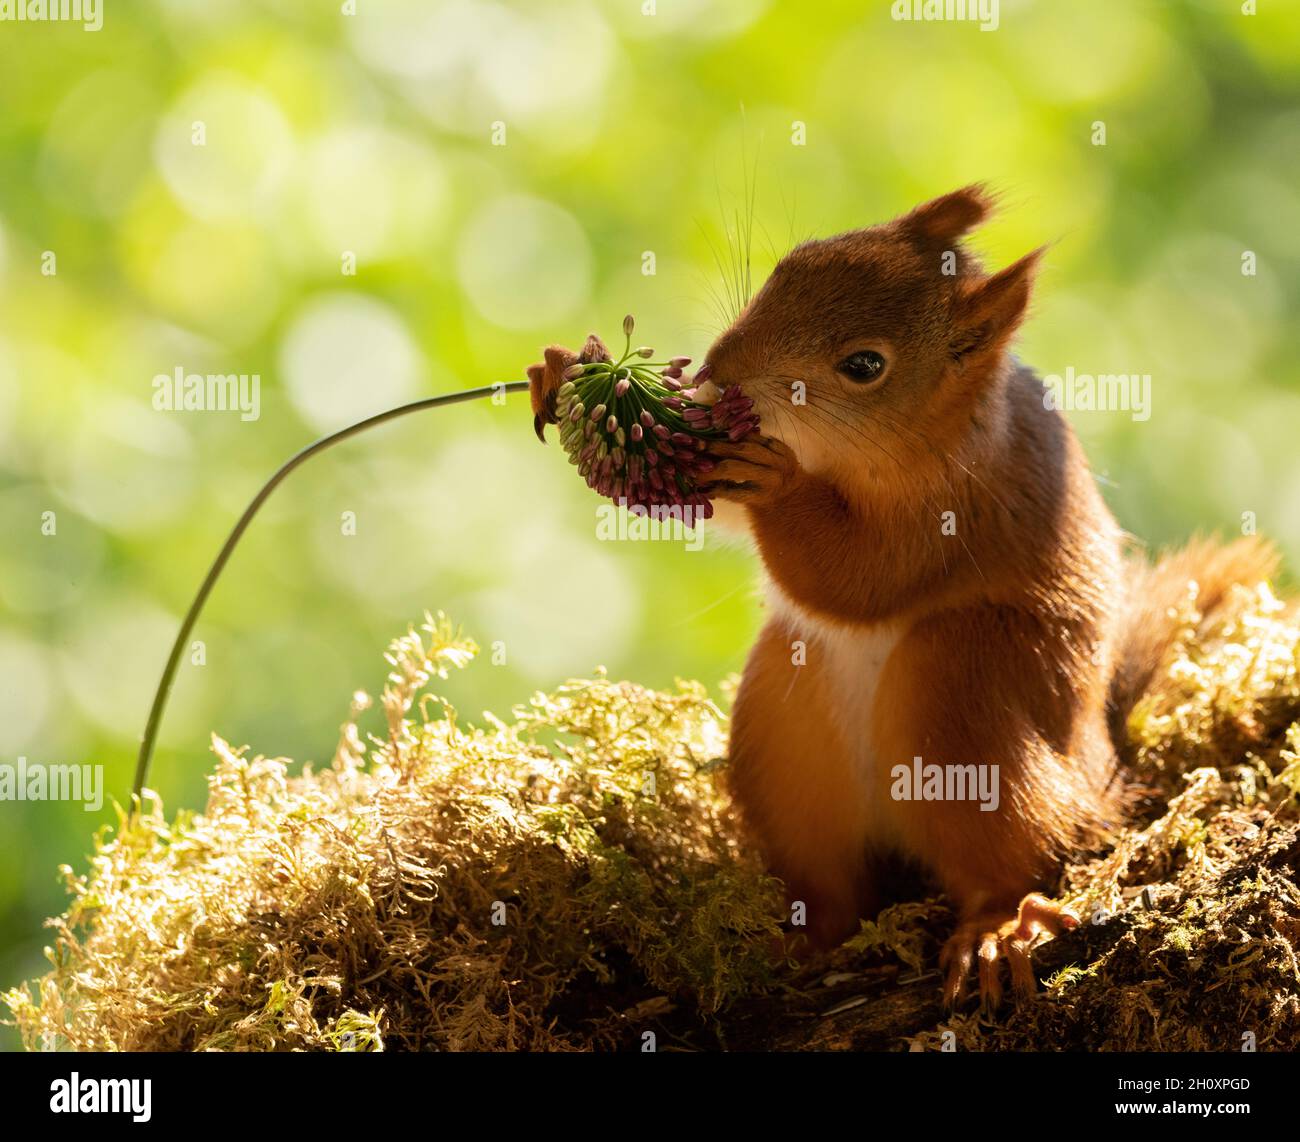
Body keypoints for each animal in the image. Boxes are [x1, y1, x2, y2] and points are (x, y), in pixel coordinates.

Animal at [529, 185, 1279, 1007]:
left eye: (865, 366)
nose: (720, 374)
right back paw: (798, 939)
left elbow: (860, 578)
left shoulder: (955, 511)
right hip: (782, 733)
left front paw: (776, 483)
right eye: (794, 263)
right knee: (831, 889)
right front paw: (560, 370)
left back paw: (995, 927)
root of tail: (1101, 774)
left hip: (963, 692)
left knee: (1014, 850)